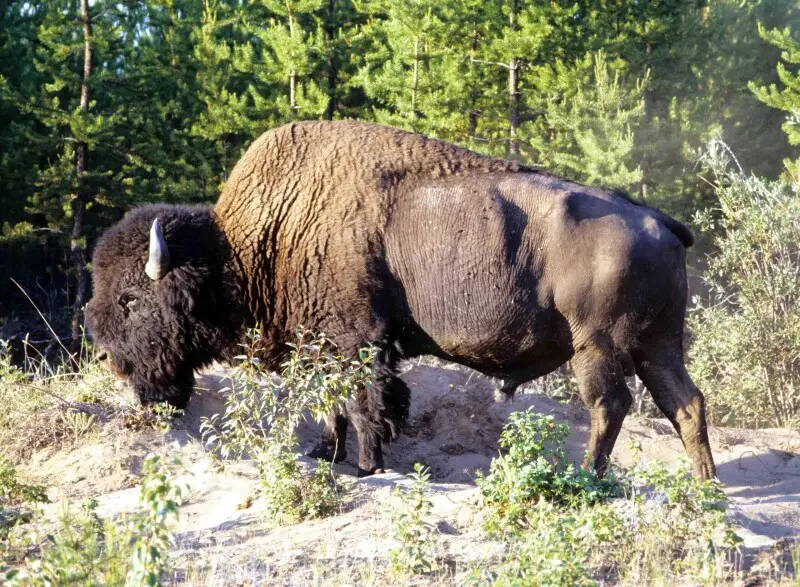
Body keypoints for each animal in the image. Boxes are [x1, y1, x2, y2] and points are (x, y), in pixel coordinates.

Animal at [86, 120, 715, 479]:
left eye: (130, 299)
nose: (108, 359)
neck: (246, 246)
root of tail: (658, 220)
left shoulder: (359, 342)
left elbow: (368, 403)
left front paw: (368, 466)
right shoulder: (326, 347)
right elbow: (334, 402)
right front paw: (325, 455)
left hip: (599, 345)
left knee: (610, 405)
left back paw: (589, 479)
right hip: (658, 343)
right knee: (686, 403)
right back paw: (704, 485)